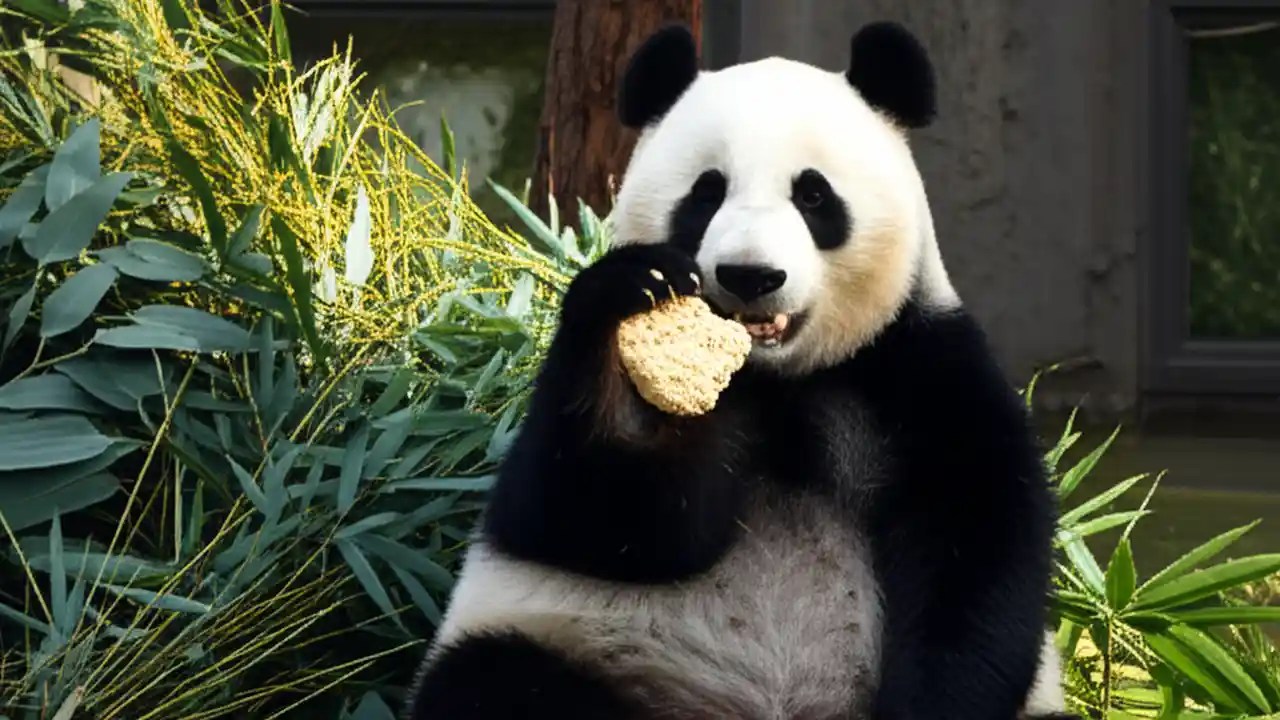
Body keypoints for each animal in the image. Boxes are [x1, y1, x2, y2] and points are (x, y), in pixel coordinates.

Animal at [404, 21, 1074, 720]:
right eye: (706, 193)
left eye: (813, 195)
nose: (751, 275)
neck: (777, 379)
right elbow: (600, 518)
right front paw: (629, 298)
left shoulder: (918, 367)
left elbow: (975, 550)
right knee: (492, 676)